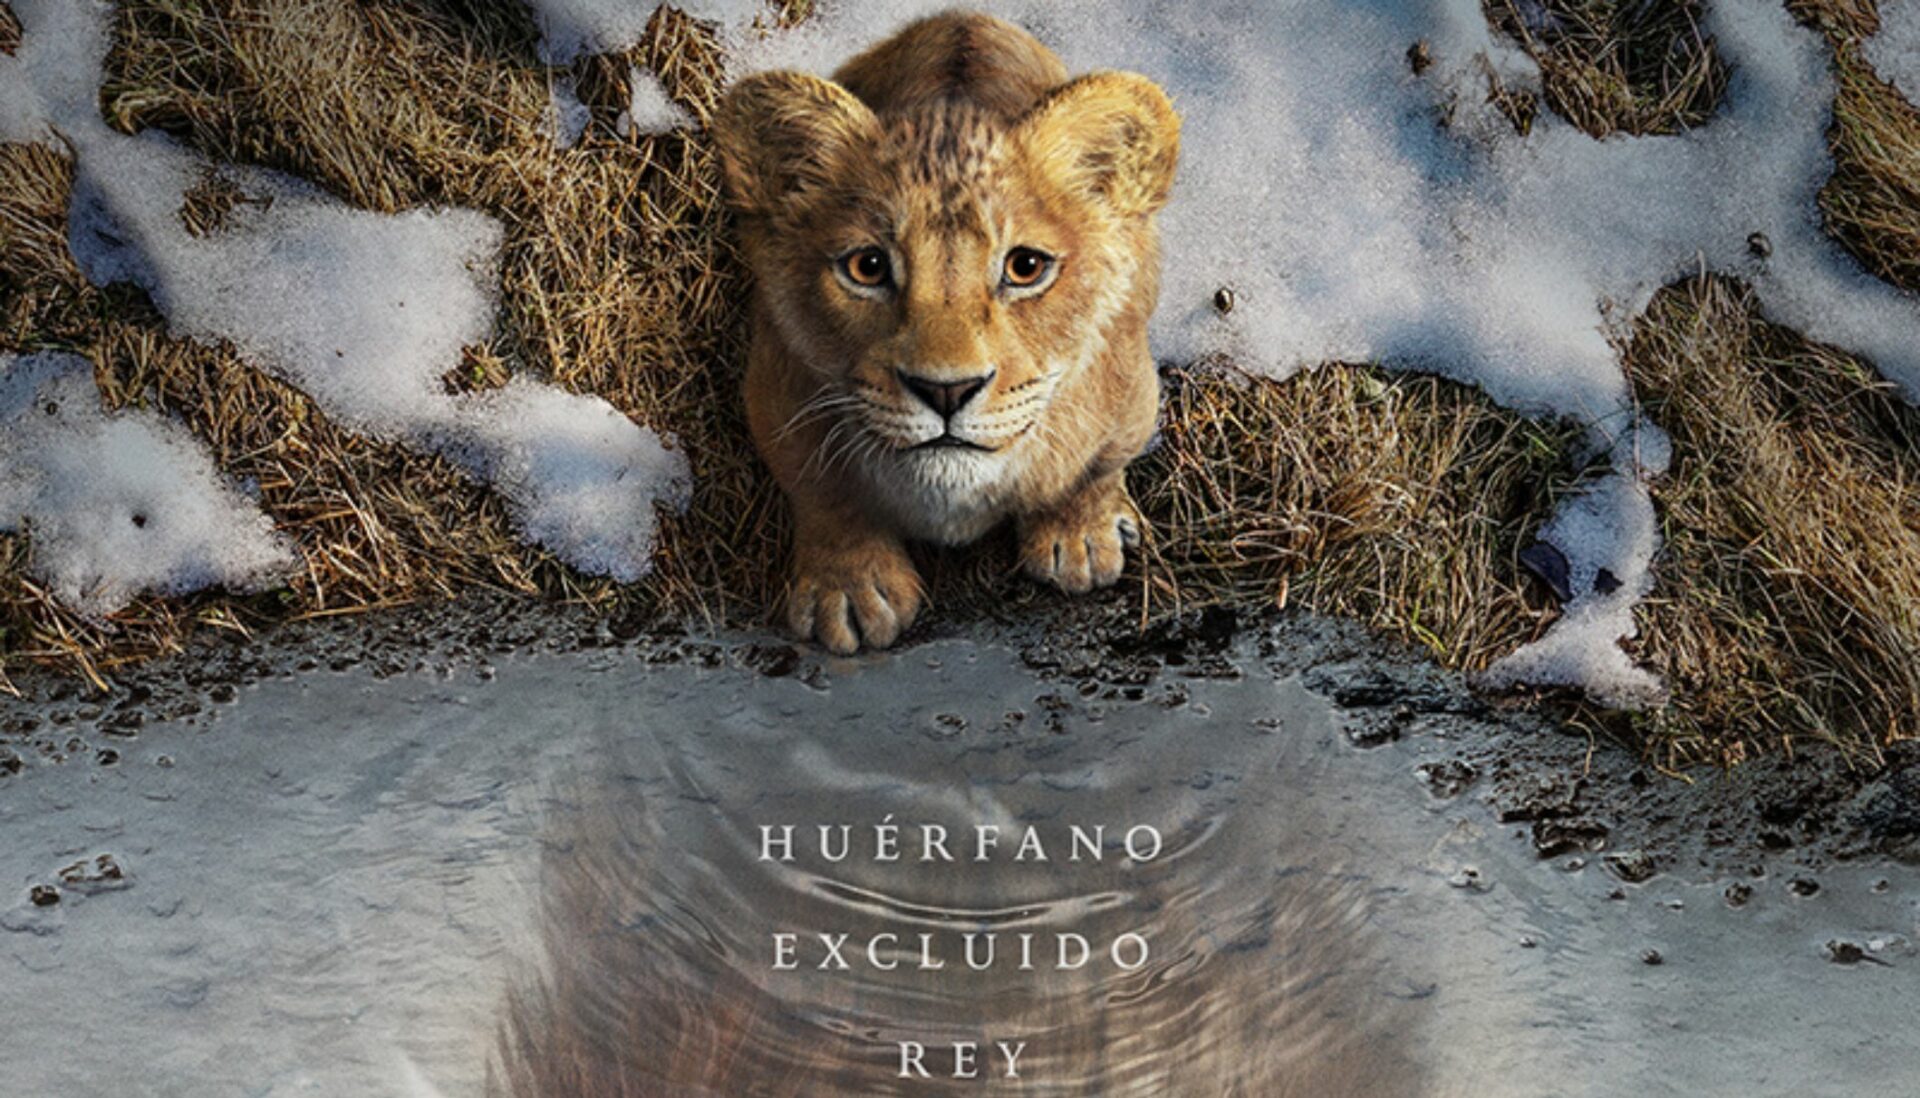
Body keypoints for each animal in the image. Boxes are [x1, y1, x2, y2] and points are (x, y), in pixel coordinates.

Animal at [713, 10, 1180, 654]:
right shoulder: (776, 392)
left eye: (1025, 267)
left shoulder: (1131, 391)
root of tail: (963, 16)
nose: (946, 391)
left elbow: (1094, 468)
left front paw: (1080, 538)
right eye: (867, 267)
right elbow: (824, 493)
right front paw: (849, 590)